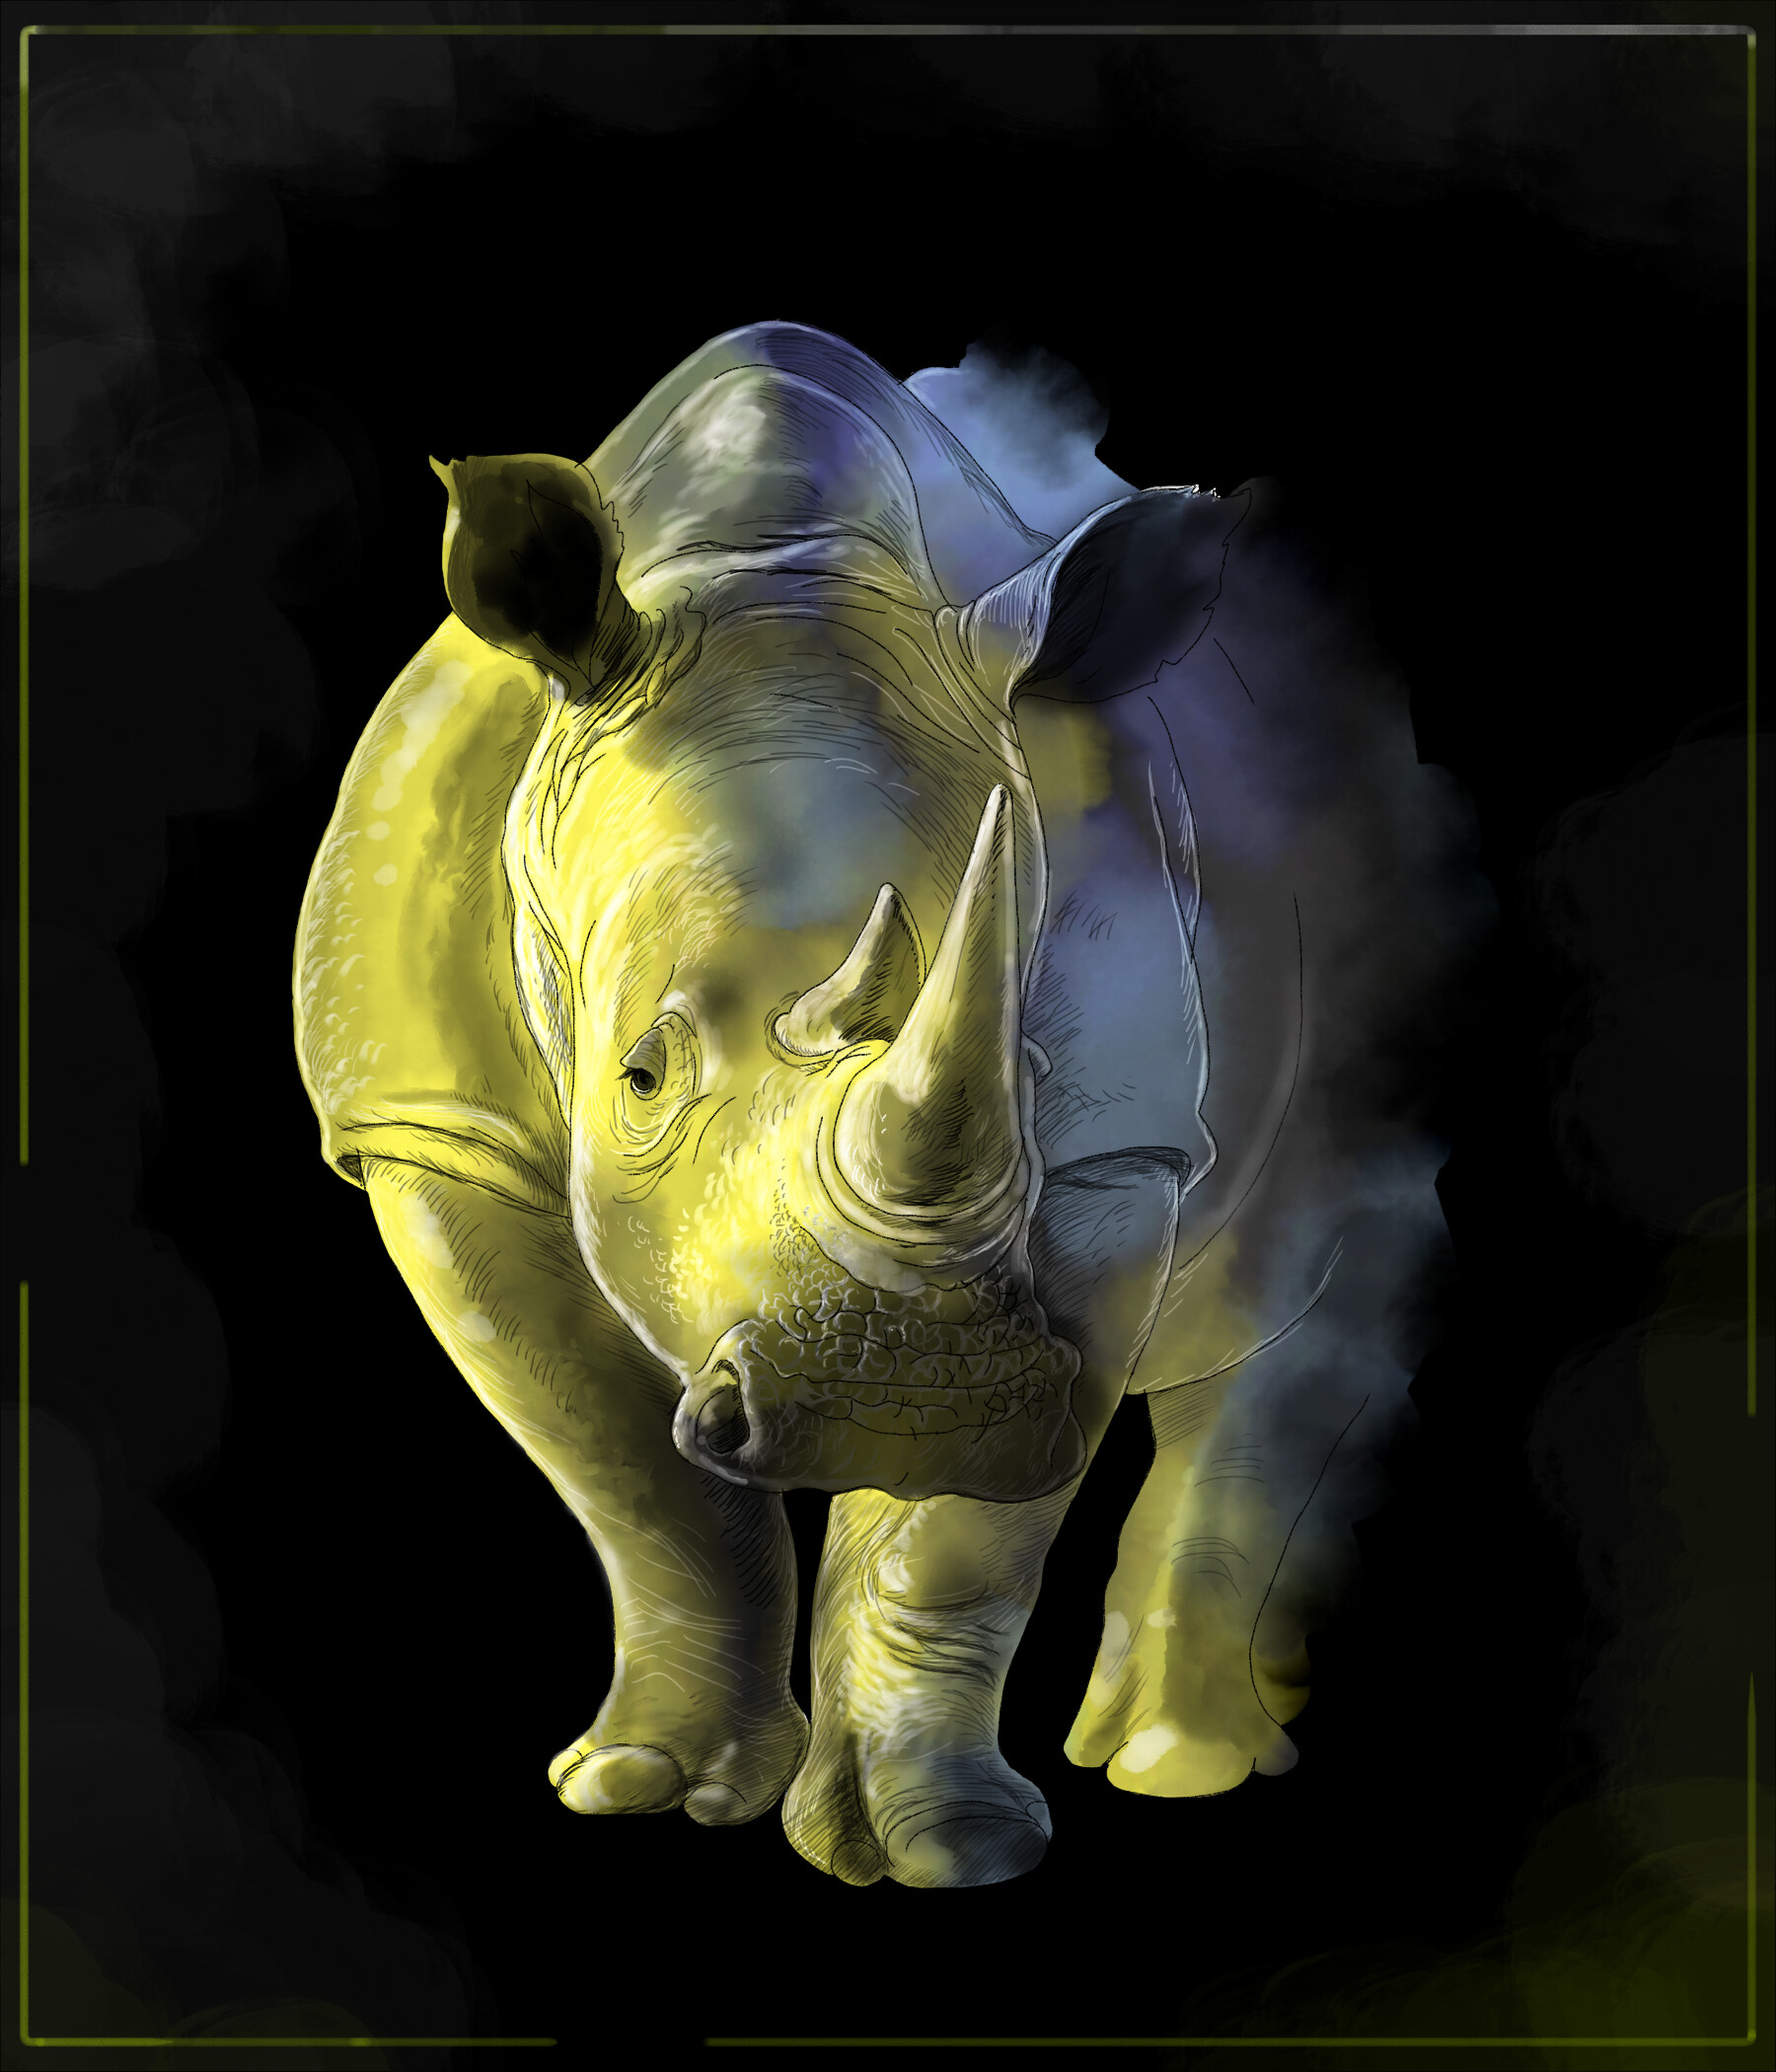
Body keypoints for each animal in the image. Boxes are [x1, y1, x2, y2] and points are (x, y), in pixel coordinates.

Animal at [294, 323, 1457, 1888]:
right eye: (640, 1075)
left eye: (1032, 1071)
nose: (911, 1403)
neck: (766, 563)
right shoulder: (427, 1123)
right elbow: (629, 1478)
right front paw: (644, 1787)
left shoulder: (1112, 1151)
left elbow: (958, 1538)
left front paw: (939, 1851)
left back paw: (1178, 1764)